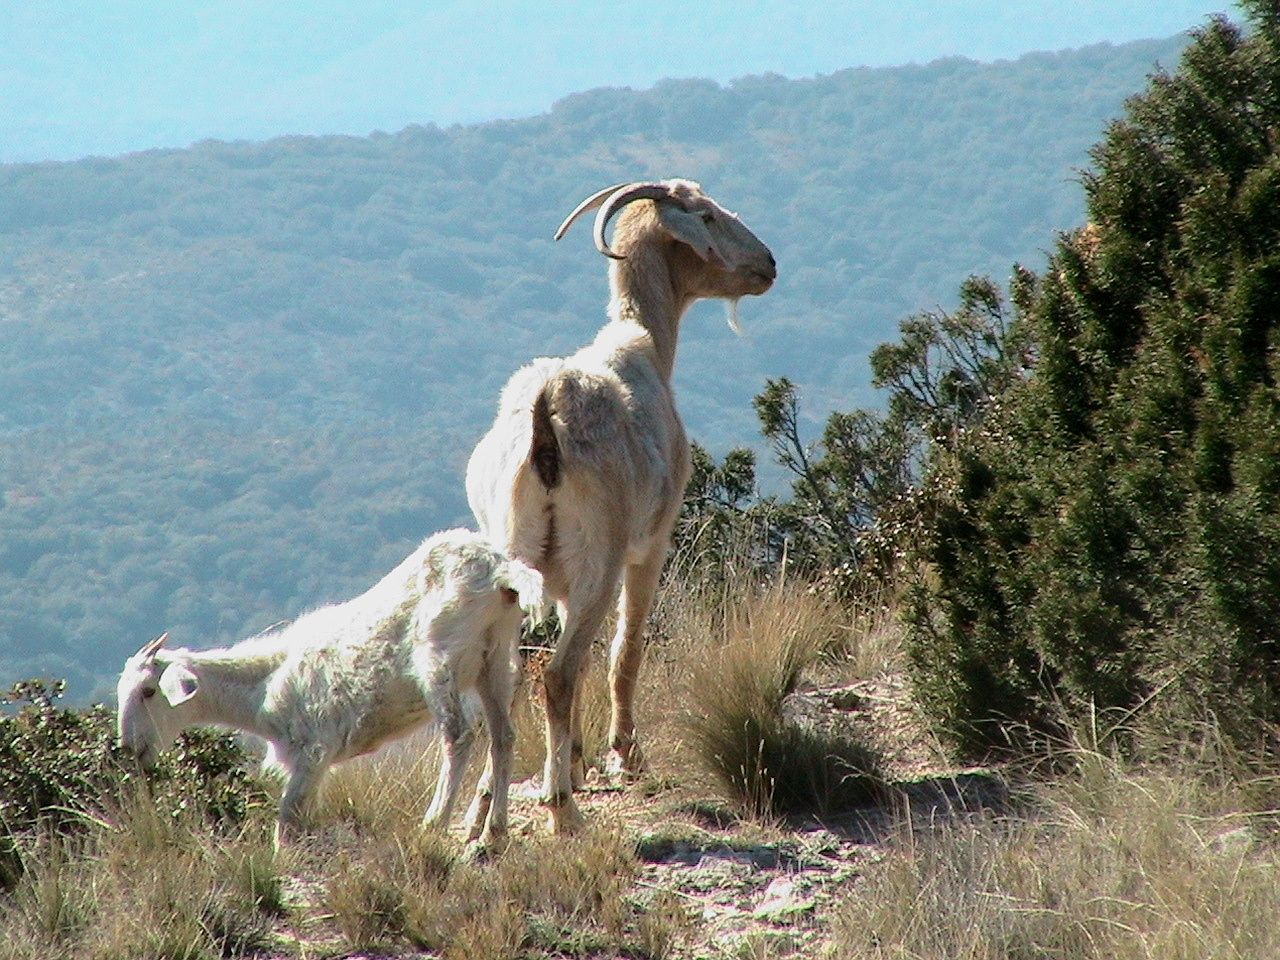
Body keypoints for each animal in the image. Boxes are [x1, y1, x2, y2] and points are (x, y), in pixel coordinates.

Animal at [116, 528, 542, 853]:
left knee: (459, 736)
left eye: (149, 691)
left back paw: (434, 822)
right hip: (496, 656)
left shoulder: (313, 750)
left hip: (440, 656)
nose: (131, 749)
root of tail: (499, 570)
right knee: (503, 736)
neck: (267, 684)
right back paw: (493, 832)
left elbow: (287, 823)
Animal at [466, 179, 776, 833]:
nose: (768, 264)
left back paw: (487, 821)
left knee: (510, 679)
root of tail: (546, 424)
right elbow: (624, 649)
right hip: (600, 561)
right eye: (707, 215)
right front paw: (620, 756)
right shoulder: (651, 543)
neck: (646, 346)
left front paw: (576, 759)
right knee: (559, 672)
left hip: (513, 557)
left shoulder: (557, 581)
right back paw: (561, 812)